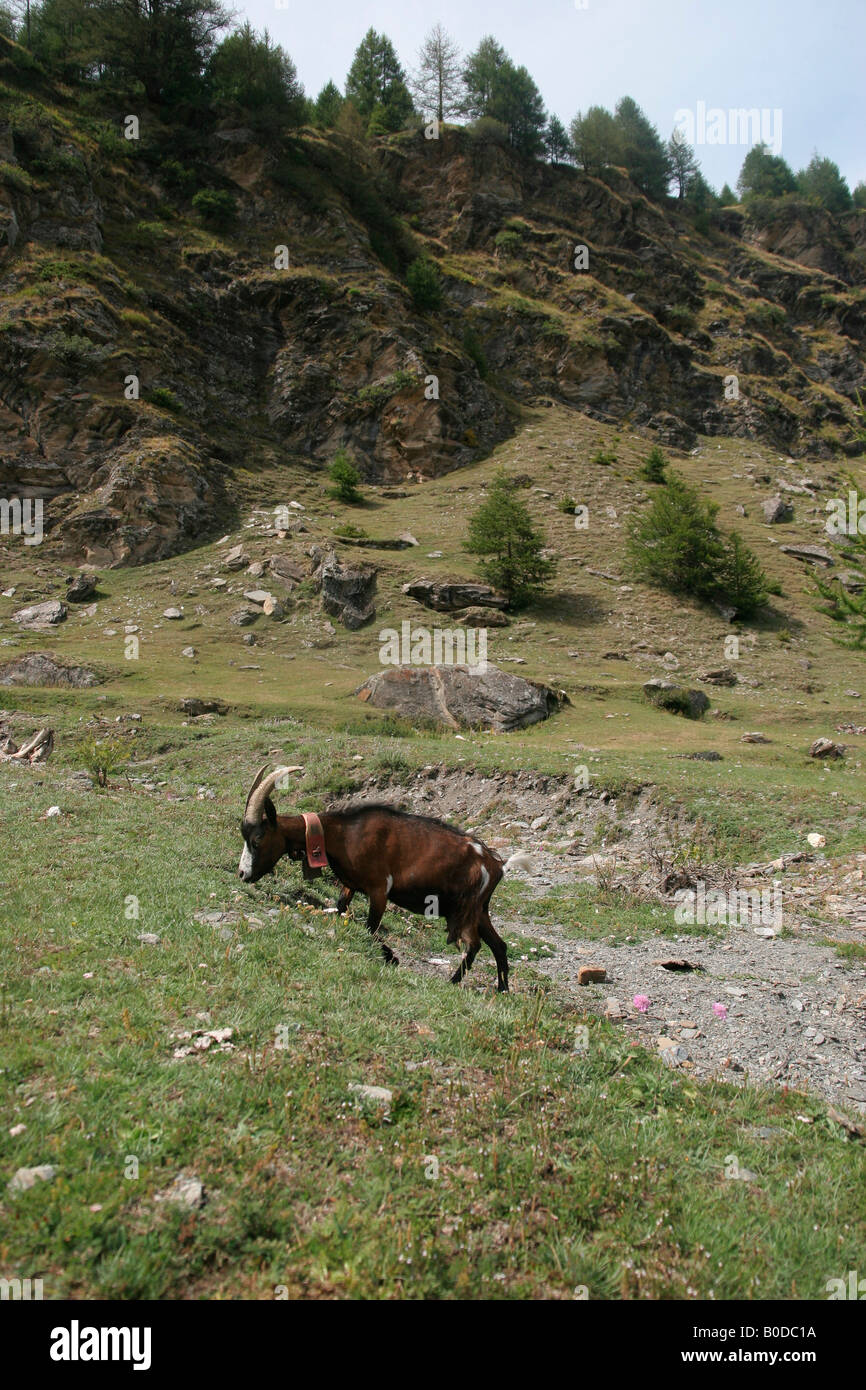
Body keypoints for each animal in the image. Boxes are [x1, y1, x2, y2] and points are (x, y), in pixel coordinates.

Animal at [238, 765, 516, 991]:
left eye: (258, 838)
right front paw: (390, 956)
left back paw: (453, 982)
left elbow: (370, 927)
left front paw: (393, 958)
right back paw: (502, 990)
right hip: (479, 910)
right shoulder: (350, 885)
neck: (343, 833)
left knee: (474, 944)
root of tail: (494, 864)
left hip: (465, 909)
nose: (242, 874)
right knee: (499, 945)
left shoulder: (379, 889)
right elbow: (342, 909)